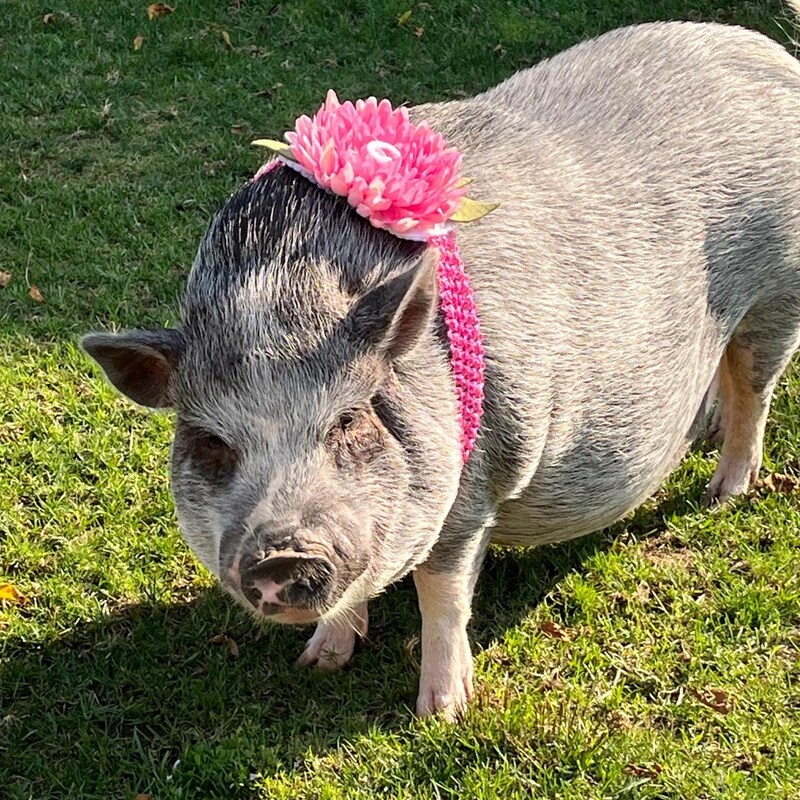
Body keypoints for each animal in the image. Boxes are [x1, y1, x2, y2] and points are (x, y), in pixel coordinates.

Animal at [82, 21, 800, 719]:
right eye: (211, 443)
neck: (275, 302)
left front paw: (442, 714)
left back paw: (724, 492)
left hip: (777, 298)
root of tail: (770, 55)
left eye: (349, 420)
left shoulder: (472, 484)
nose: (284, 554)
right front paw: (319, 663)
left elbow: (442, 594)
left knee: (755, 392)